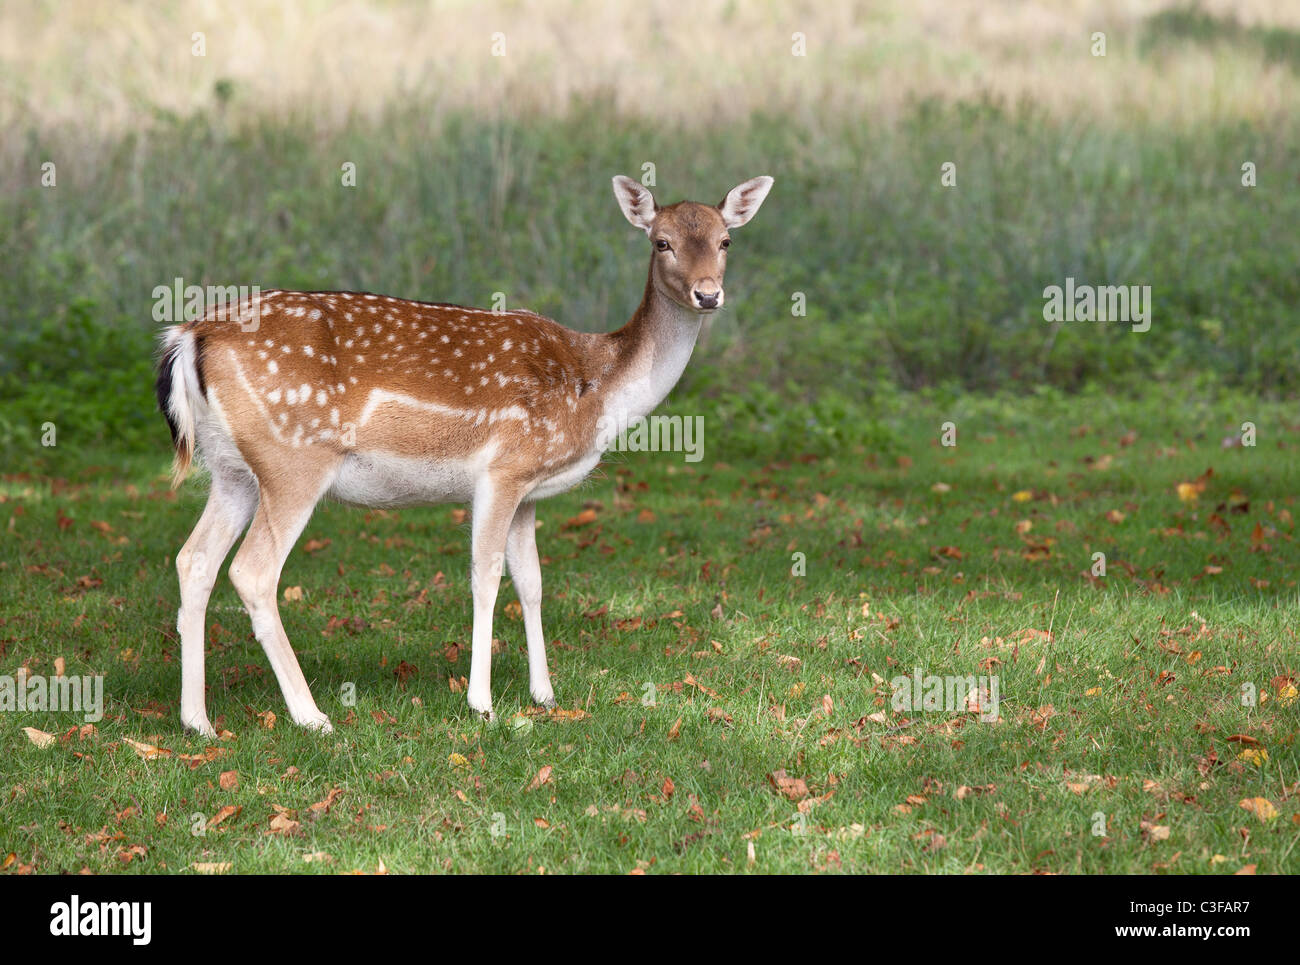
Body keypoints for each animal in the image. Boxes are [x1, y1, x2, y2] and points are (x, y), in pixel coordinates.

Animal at [156, 175, 773, 736]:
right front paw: (483, 704)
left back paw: (198, 722)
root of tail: (188, 338)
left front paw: (545, 695)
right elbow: (486, 577)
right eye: (661, 241)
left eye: (725, 240)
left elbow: (533, 582)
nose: (708, 294)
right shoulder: (502, 470)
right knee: (252, 571)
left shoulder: (530, 489)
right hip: (293, 460)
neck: (595, 387)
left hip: (233, 471)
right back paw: (313, 717)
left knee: (193, 560)